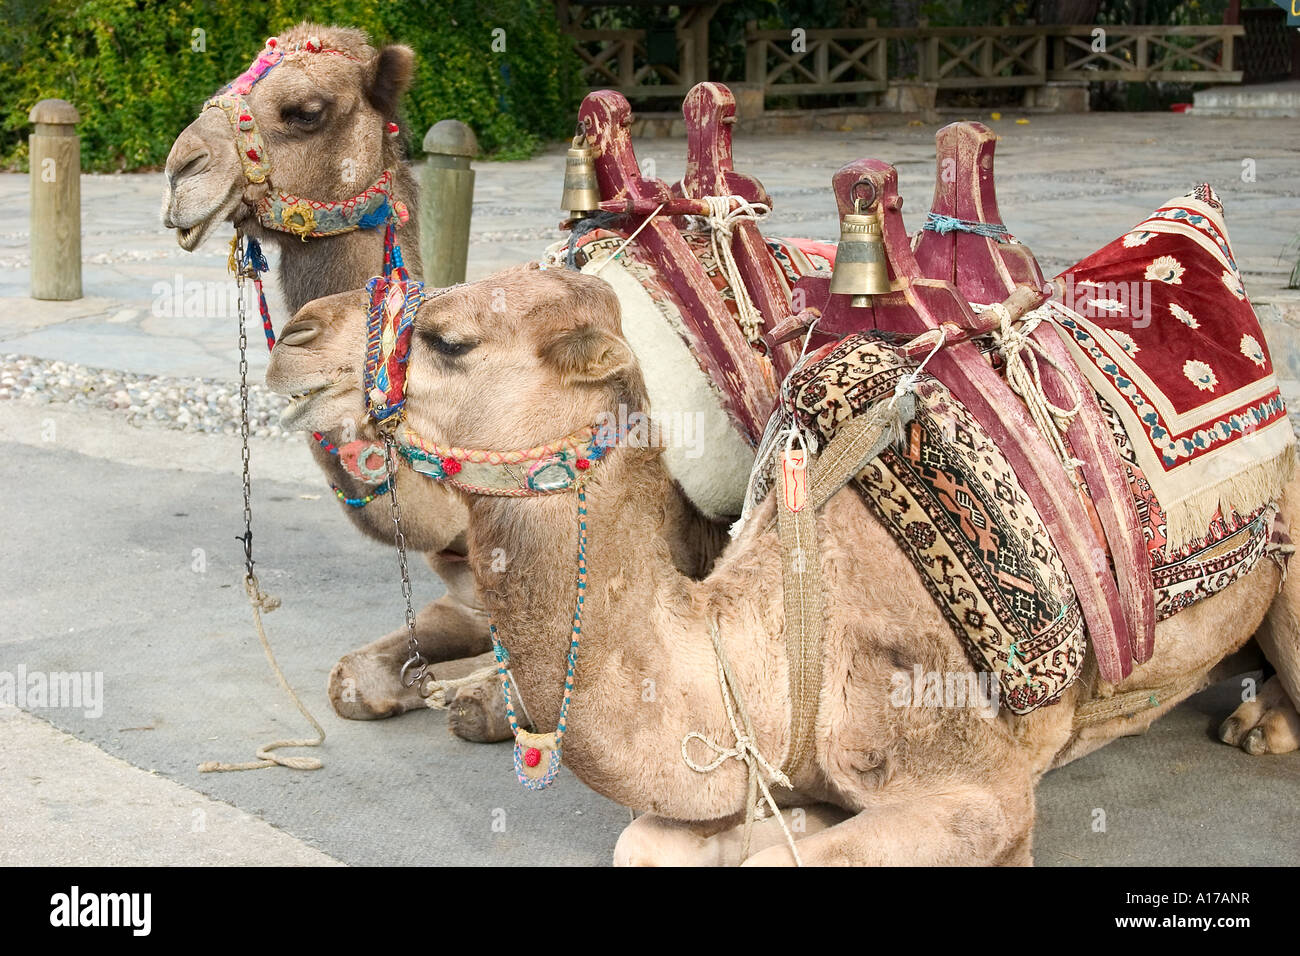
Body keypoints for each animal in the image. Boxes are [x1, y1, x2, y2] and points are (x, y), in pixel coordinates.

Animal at [269, 266, 1300, 865]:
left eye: (450, 340)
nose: (296, 335)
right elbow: (649, 844)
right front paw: (791, 818)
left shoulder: (985, 792)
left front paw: (792, 832)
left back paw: (1264, 726)